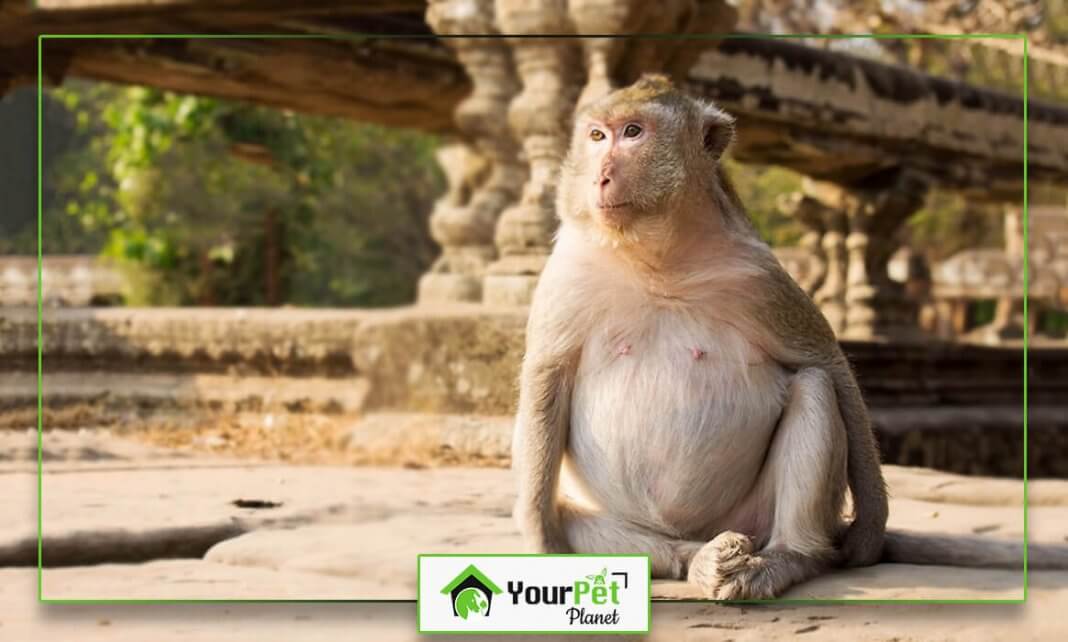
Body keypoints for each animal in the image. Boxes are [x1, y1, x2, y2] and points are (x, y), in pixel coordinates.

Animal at [511, 74, 1068, 600]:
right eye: (596, 136)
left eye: (632, 132)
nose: (601, 175)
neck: (657, 260)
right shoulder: (568, 275)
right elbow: (546, 376)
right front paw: (539, 542)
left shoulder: (759, 276)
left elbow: (828, 363)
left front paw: (869, 530)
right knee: (573, 516)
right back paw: (696, 560)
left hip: (760, 513)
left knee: (814, 389)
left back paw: (788, 558)